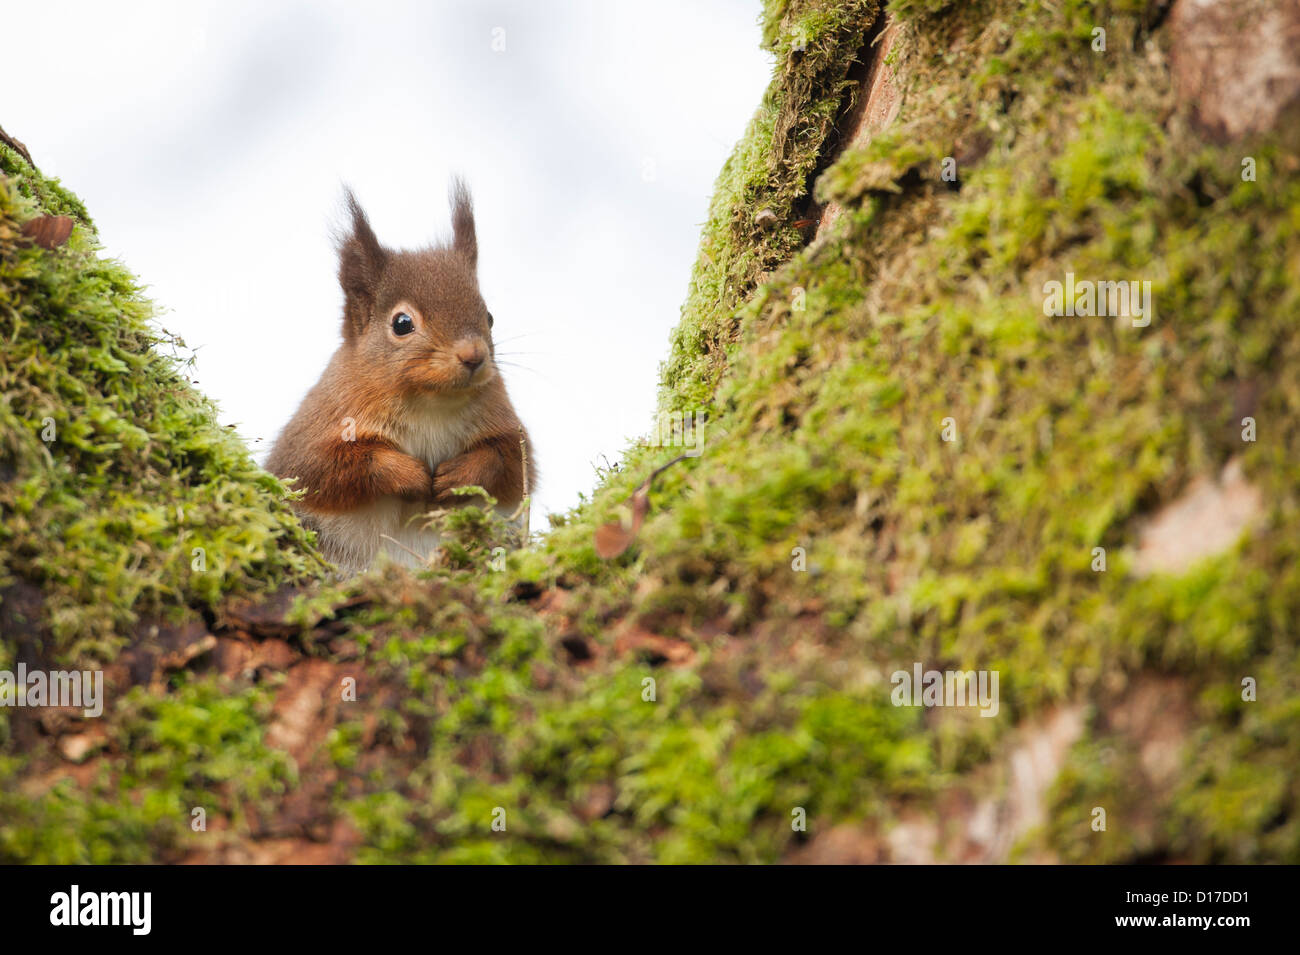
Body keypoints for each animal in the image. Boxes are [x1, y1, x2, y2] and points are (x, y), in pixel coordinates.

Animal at [266, 181, 535, 574]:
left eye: (489, 317)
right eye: (402, 323)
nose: (473, 356)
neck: (430, 403)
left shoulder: (504, 422)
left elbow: (512, 462)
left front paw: (461, 474)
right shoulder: (315, 431)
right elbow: (321, 469)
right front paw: (407, 474)